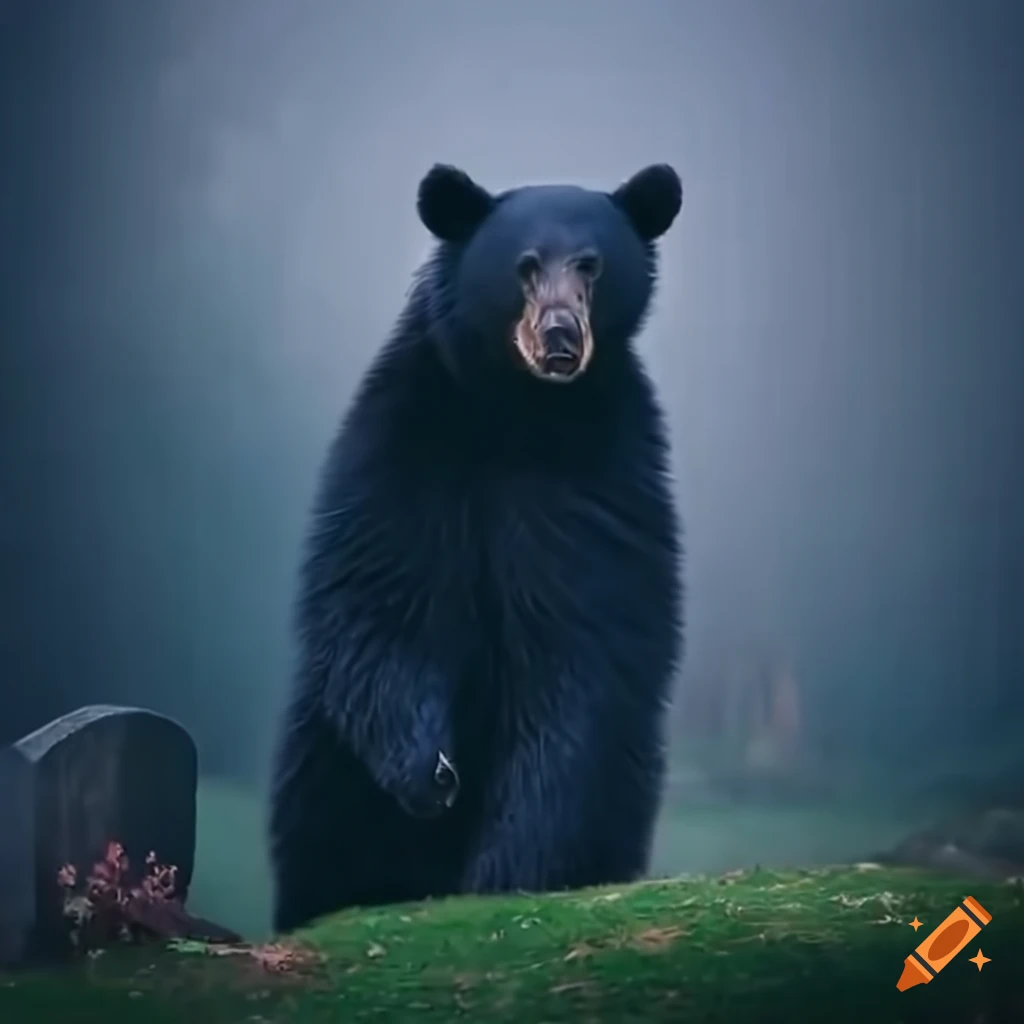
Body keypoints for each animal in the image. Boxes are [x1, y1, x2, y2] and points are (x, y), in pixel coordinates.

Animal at [268, 163, 685, 933]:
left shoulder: (602, 485)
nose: (560, 339)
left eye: (591, 265)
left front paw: (512, 870)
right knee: (323, 827)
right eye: (524, 266)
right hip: (320, 763)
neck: (517, 411)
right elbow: (381, 603)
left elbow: (581, 664)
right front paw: (430, 772)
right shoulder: (407, 439)